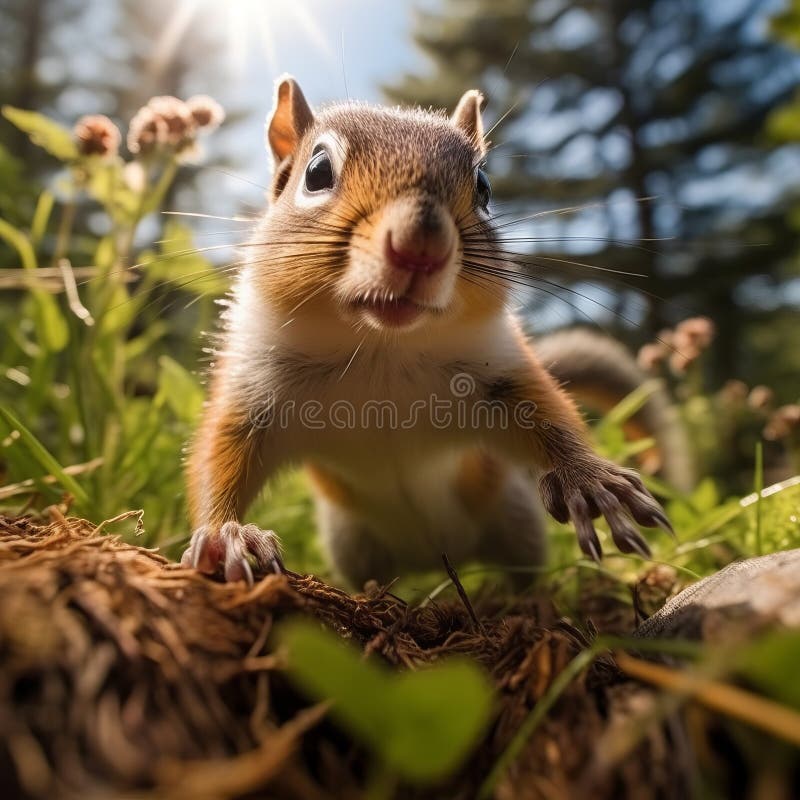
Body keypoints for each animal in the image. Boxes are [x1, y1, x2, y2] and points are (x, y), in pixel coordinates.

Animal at [181, 76, 674, 586]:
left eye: (484, 187)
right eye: (316, 172)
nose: (420, 247)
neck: (380, 347)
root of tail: (434, 560)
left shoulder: (499, 373)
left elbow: (550, 416)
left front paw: (591, 479)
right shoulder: (254, 387)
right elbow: (220, 454)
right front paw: (226, 535)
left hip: (515, 518)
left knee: (524, 574)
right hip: (351, 541)